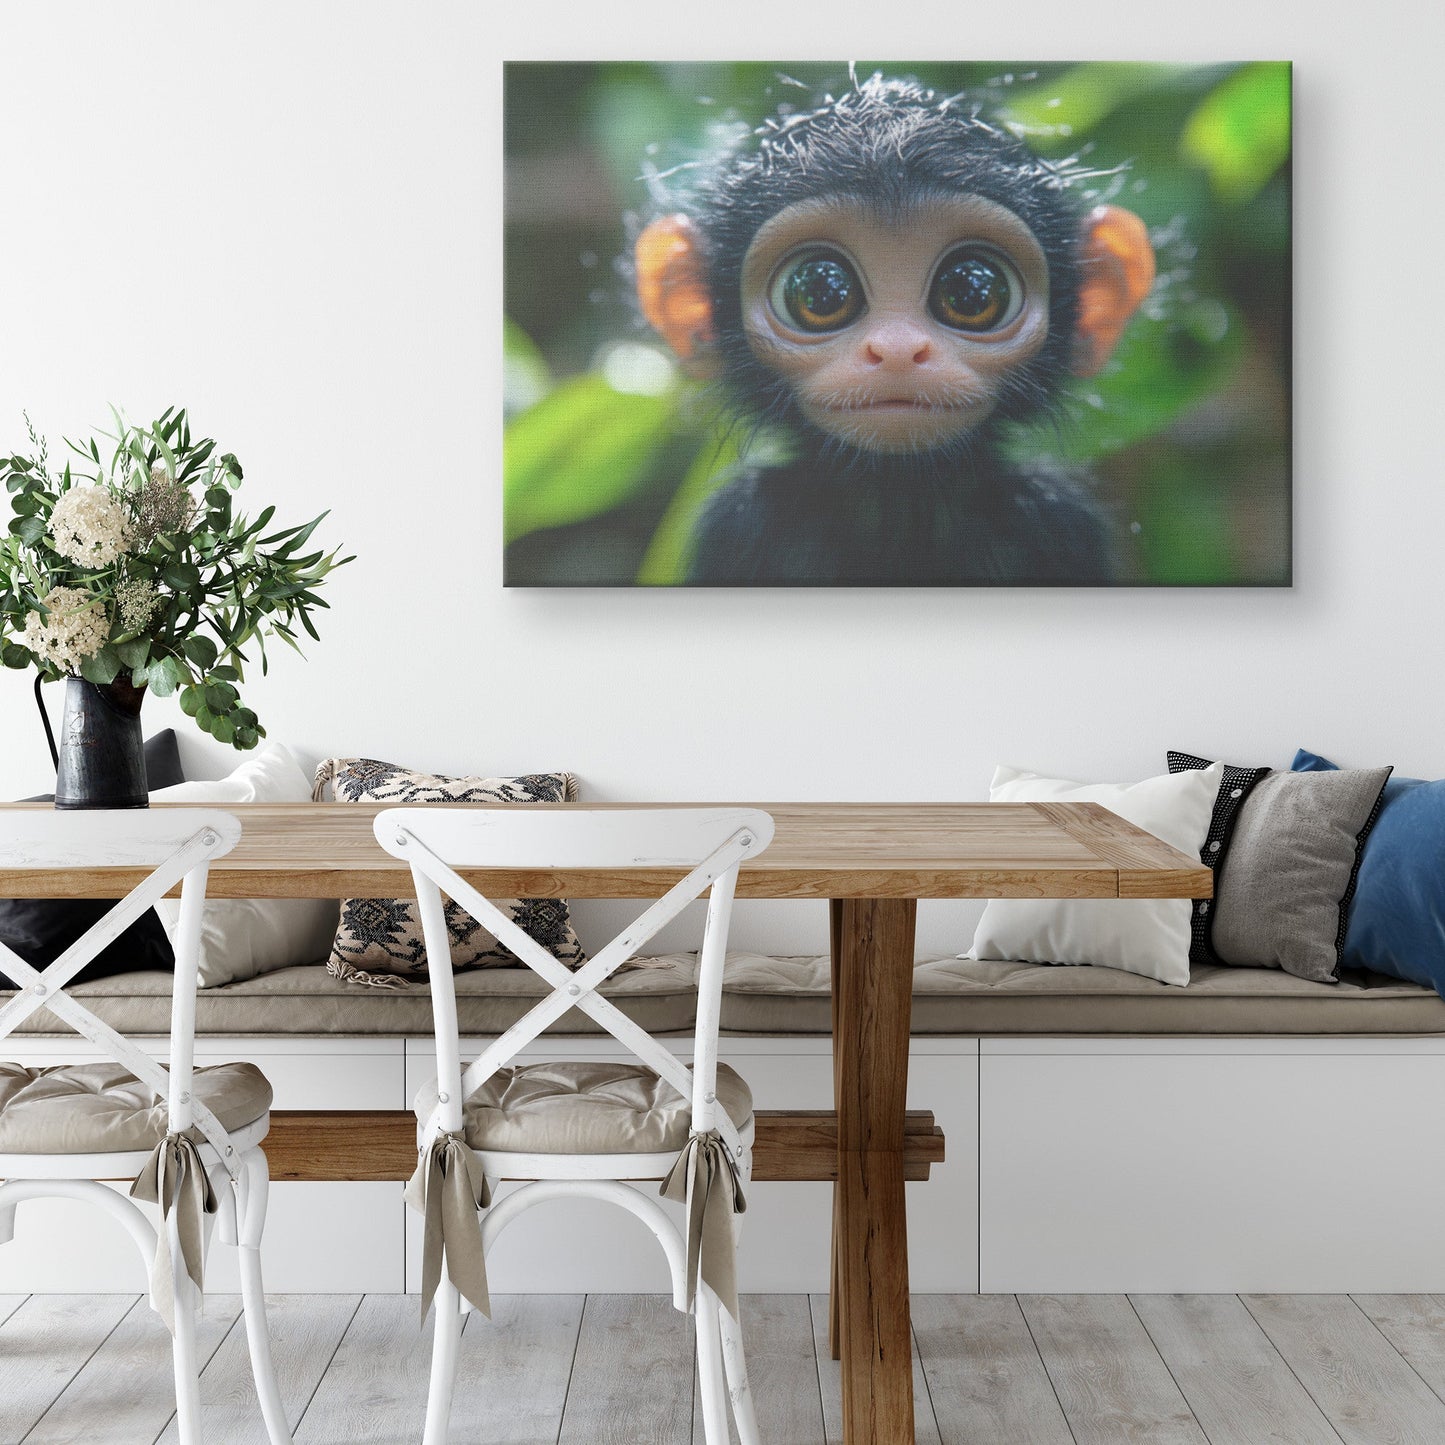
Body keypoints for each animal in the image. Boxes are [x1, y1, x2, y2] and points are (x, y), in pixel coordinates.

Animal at [633, 76, 1157, 585]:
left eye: (972, 292)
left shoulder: (1057, 521)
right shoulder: (742, 524)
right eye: (820, 292)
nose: (898, 350)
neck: (897, 504)